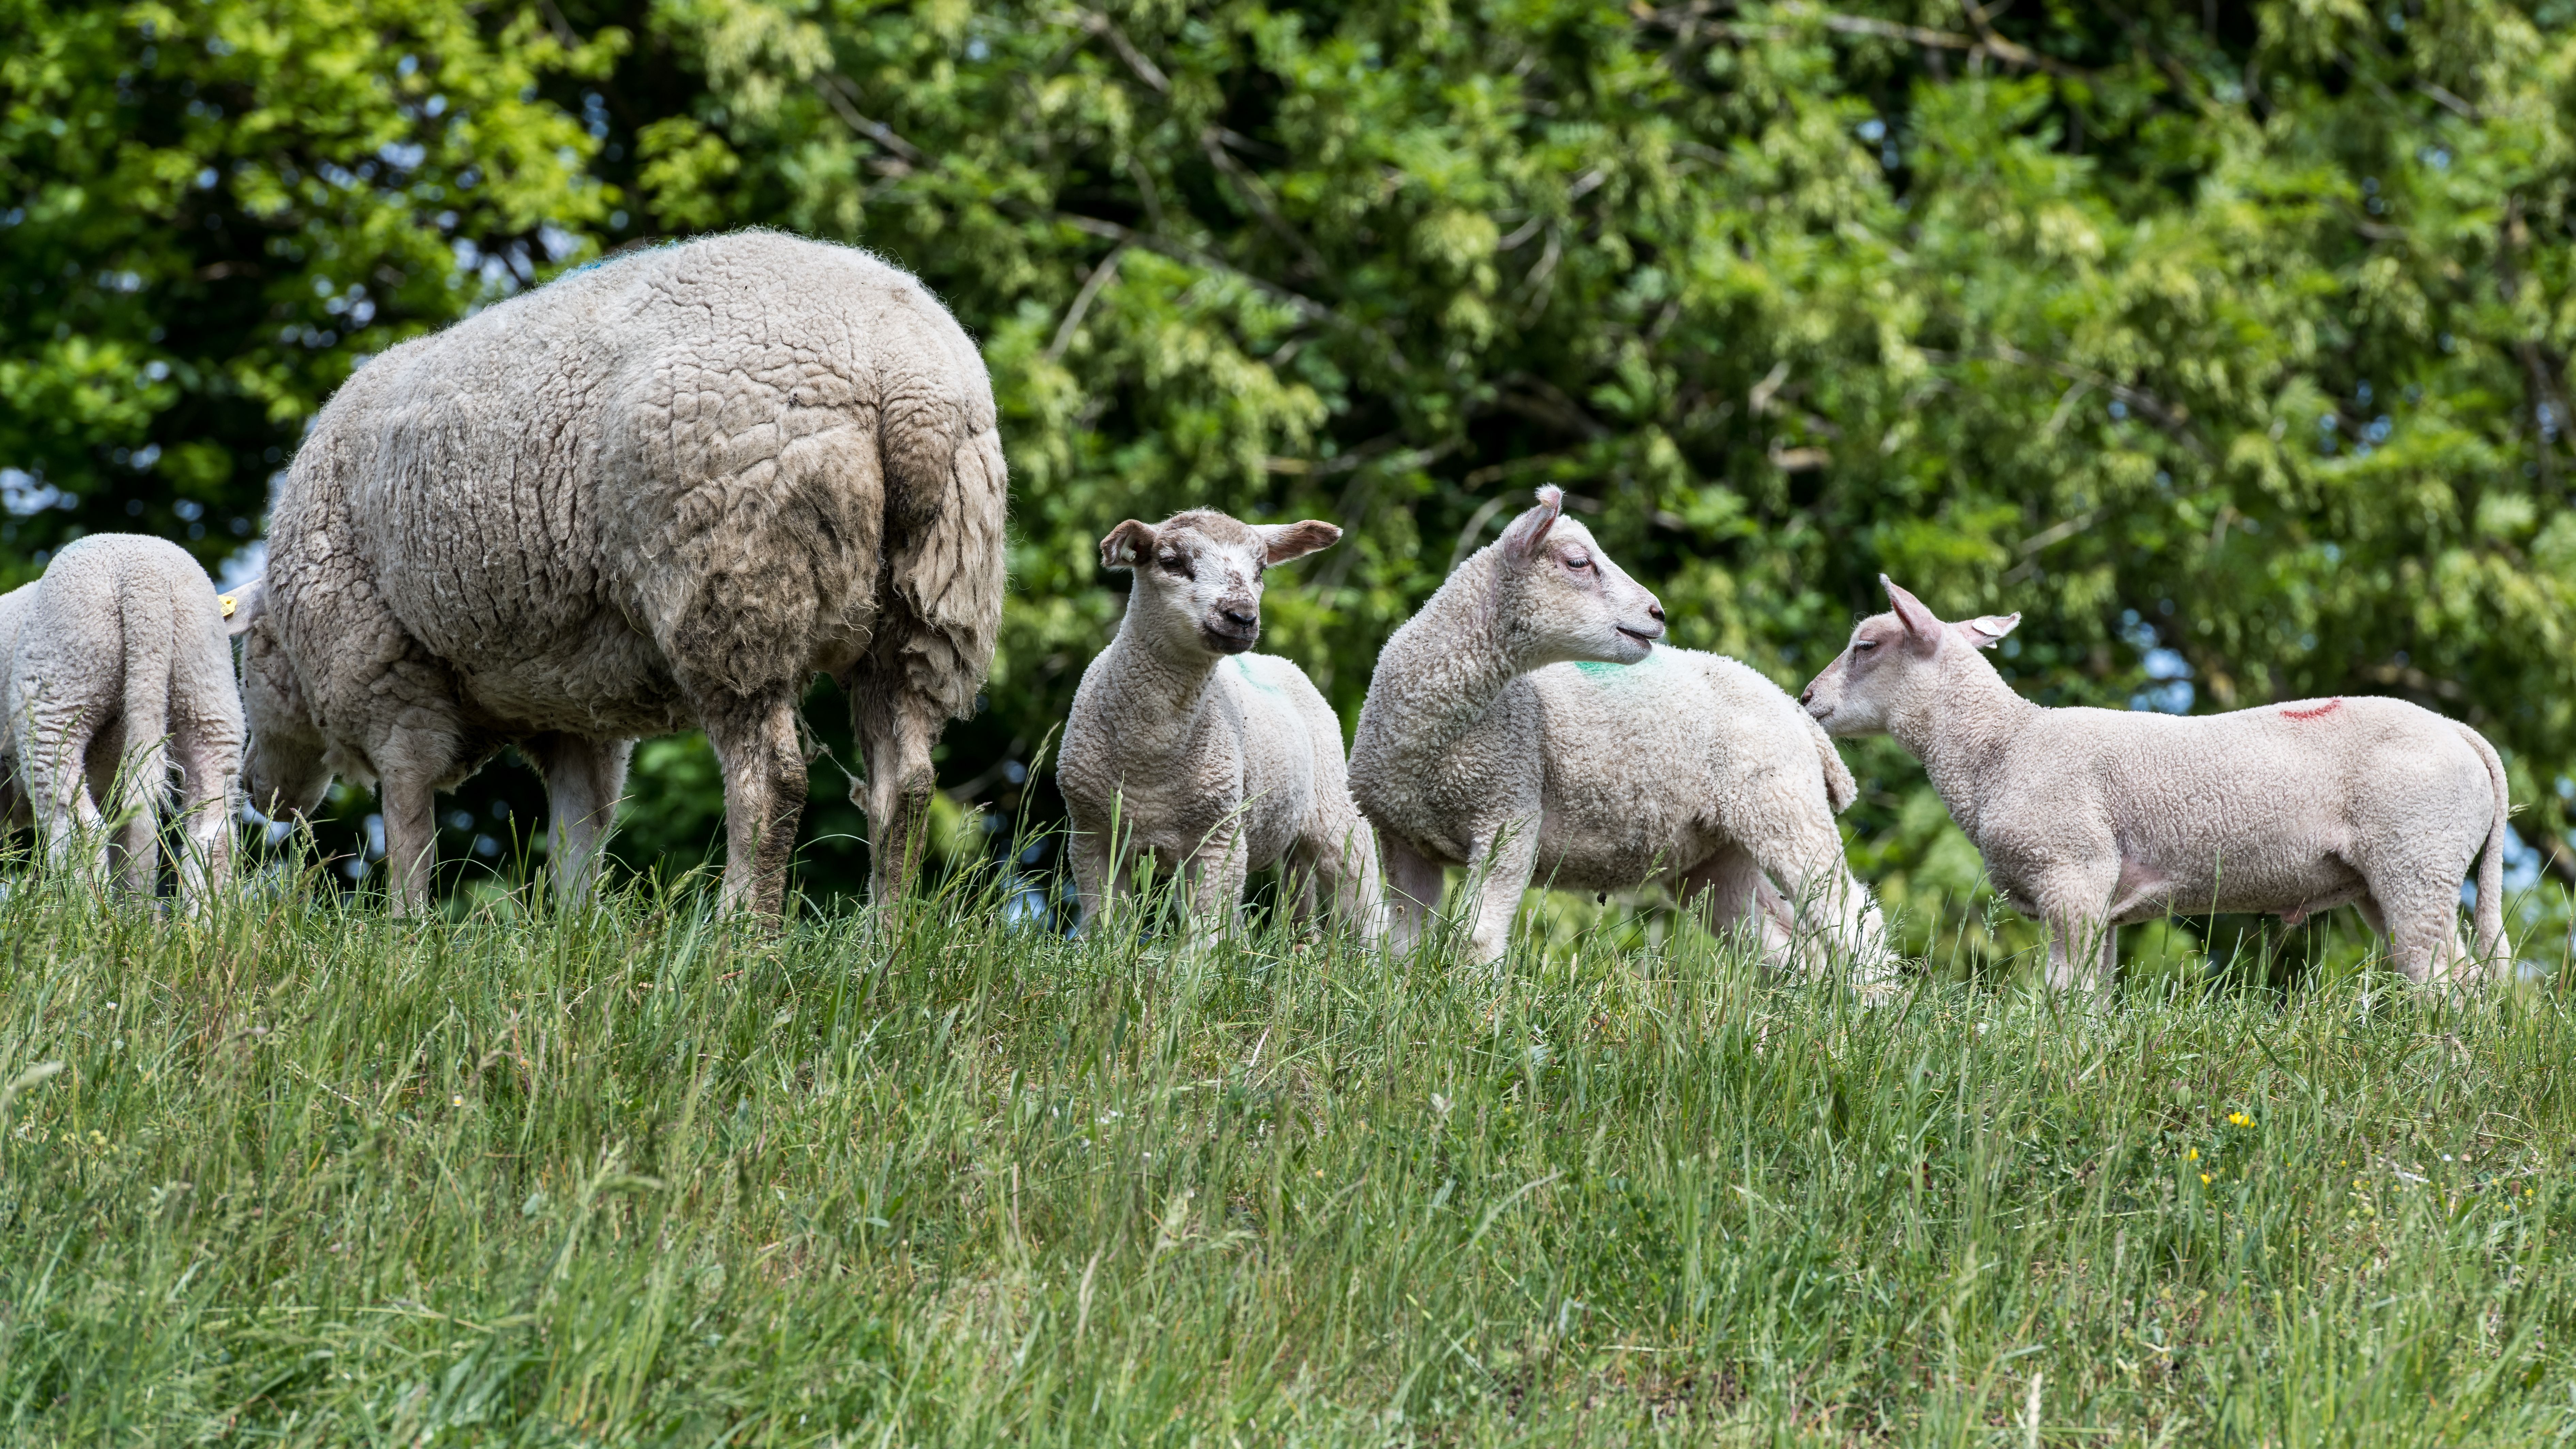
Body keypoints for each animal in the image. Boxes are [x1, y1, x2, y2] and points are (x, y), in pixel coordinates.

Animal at [0, 534, 243, 902]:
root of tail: (143, 573)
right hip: (207, 690)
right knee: (211, 837)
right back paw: (199, 917)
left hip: (61, 690)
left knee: (80, 830)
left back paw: (87, 913)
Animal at [239, 230, 1007, 917]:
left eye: (244, 659)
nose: (256, 792)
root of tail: (901, 377)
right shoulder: (575, 710)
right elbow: (578, 834)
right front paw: (573, 934)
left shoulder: (385, 679)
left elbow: (408, 827)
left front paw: (406, 931)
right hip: (932, 600)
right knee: (904, 785)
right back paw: (884, 940)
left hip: (736, 578)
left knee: (770, 783)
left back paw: (738, 939)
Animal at [1056, 508, 1380, 940]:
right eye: (1171, 562)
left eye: (1260, 569)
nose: (1242, 617)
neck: (1150, 758)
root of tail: (1279, 662)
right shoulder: (1092, 834)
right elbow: (1105, 920)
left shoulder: (1220, 835)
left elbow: (1209, 930)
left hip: (1332, 805)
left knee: (1361, 891)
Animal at [1348, 487, 1892, 973]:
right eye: (1577, 562)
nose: (1658, 613)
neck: (1433, 738)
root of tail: (1794, 710)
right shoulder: (1402, 838)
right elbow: (1402, 942)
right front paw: (1401, 993)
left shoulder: (1508, 815)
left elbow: (1477, 938)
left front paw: (1474, 1001)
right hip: (1716, 856)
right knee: (1782, 943)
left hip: (1783, 806)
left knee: (1852, 919)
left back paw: (1872, 1005)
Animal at [1798, 577, 2515, 990]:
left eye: (1866, 645)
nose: (1806, 698)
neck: (2000, 747)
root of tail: (2462, 733)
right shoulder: (2103, 893)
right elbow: (2093, 992)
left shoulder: (2070, 870)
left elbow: (2062, 992)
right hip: (2387, 875)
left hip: (2415, 855)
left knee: (2448, 980)